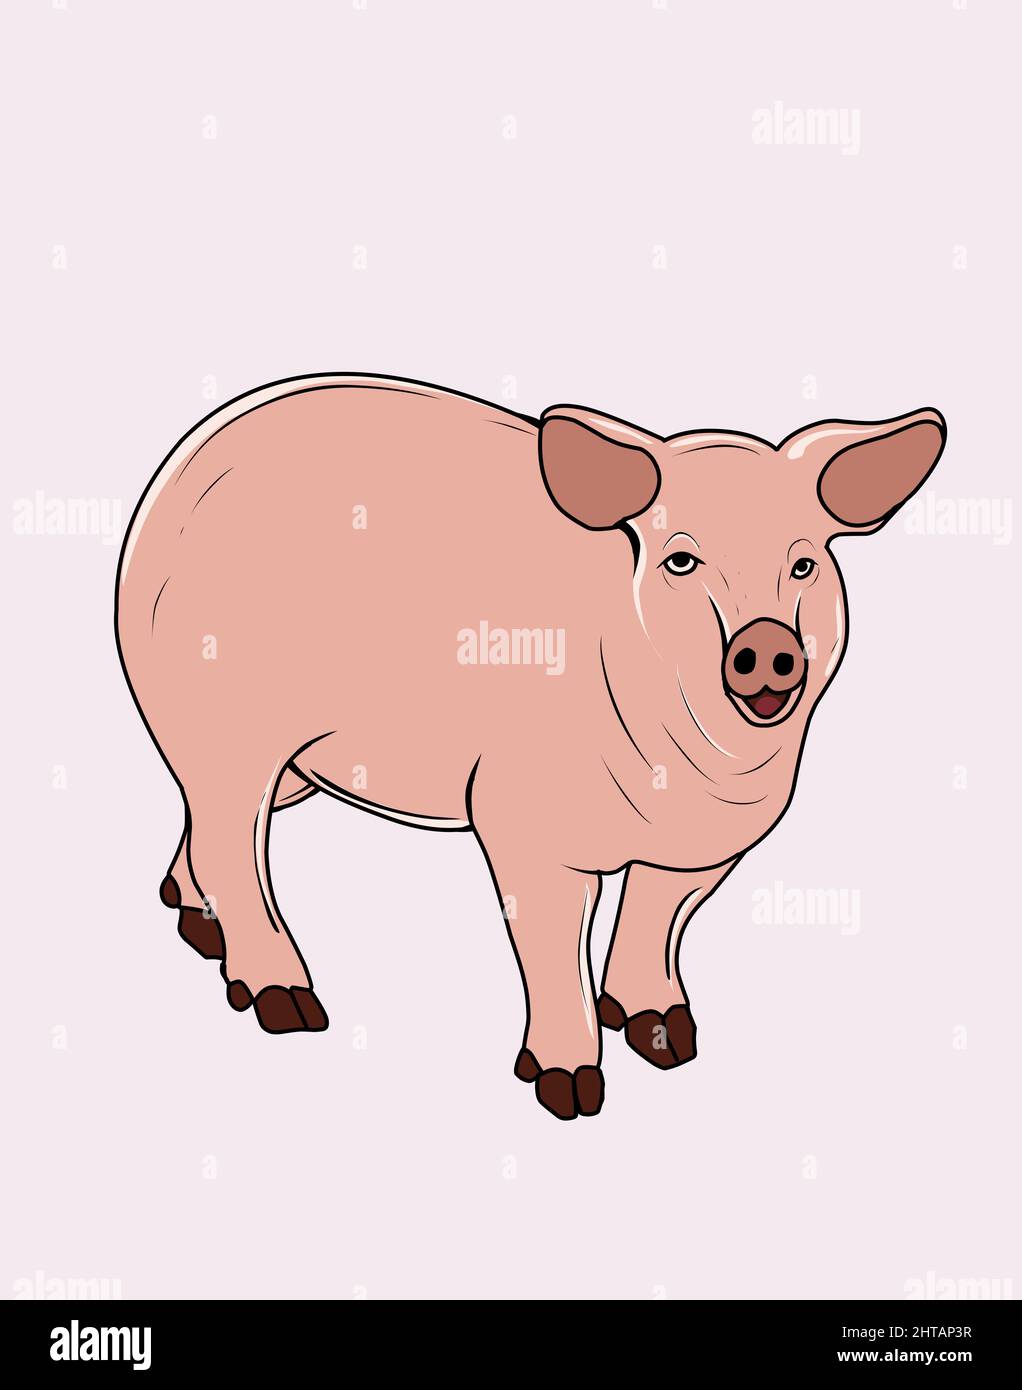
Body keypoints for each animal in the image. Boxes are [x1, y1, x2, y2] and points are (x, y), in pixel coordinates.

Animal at [115, 375, 946, 1119]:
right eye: (680, 559)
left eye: (804, 561)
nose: (766, 646)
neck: (689, 771)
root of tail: (178, 466)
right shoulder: (521, 824)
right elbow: (552, 947)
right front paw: (570, 1093)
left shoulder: (705, 850)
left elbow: (655, 921)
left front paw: (669, 1043)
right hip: (227, 722)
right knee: (233, 837)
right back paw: (289, 1007)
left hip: (293, 767)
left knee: (206, 823)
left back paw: (195, 923)